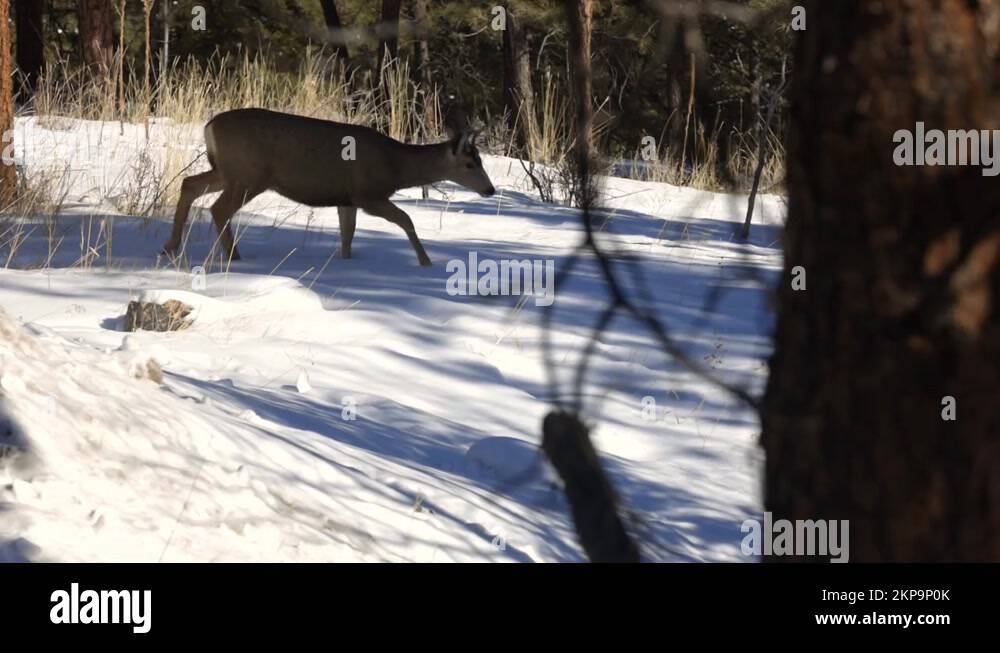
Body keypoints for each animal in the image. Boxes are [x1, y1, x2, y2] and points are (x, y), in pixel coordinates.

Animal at [162, 108, 496, 267]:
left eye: (480, 159)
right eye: (471, 163)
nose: (490, 190)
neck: (396, 165)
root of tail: (209, 126)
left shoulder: (346, 198)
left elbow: (348, 234)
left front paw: (346, 262)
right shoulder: (367, 194)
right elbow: (406, 220)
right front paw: (426, 263)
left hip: (227, 171)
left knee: (189, 184)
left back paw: (171, 247)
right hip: (249, 174)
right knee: (218, 208)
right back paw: (234, 256)